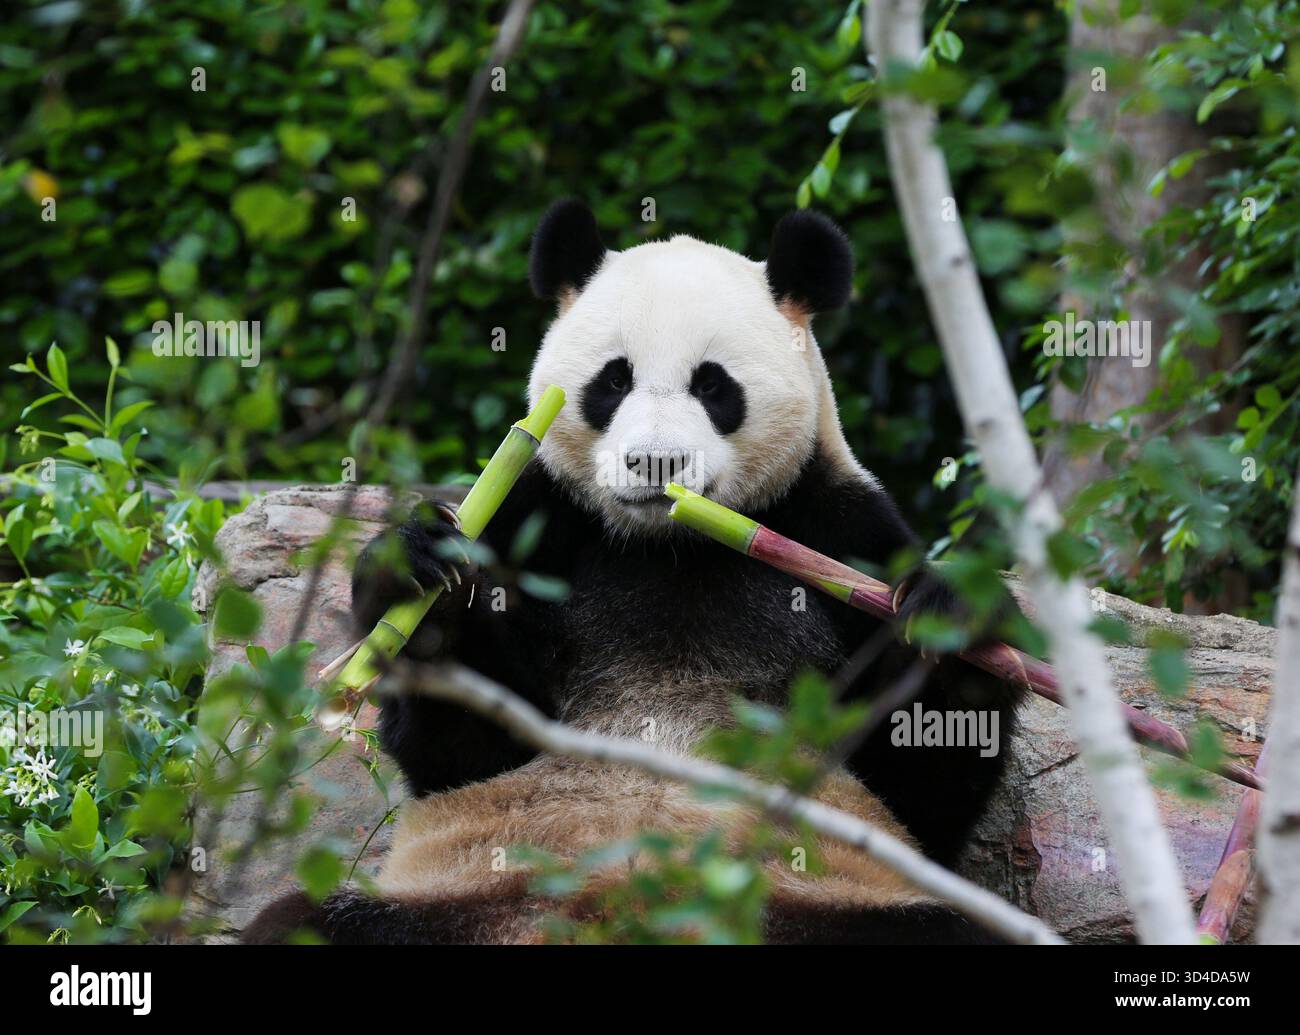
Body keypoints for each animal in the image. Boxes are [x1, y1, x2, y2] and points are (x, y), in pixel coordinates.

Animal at [244, 199, 1025, 945]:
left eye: (713, 386)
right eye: (613, 380)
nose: (656, 463)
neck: (669, 546)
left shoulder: (841, 531)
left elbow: (920, 786)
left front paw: (953, 620)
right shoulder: (535, 519)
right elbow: (459, 751)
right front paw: (421, 581)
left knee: (944, 930)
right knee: (300, 923)